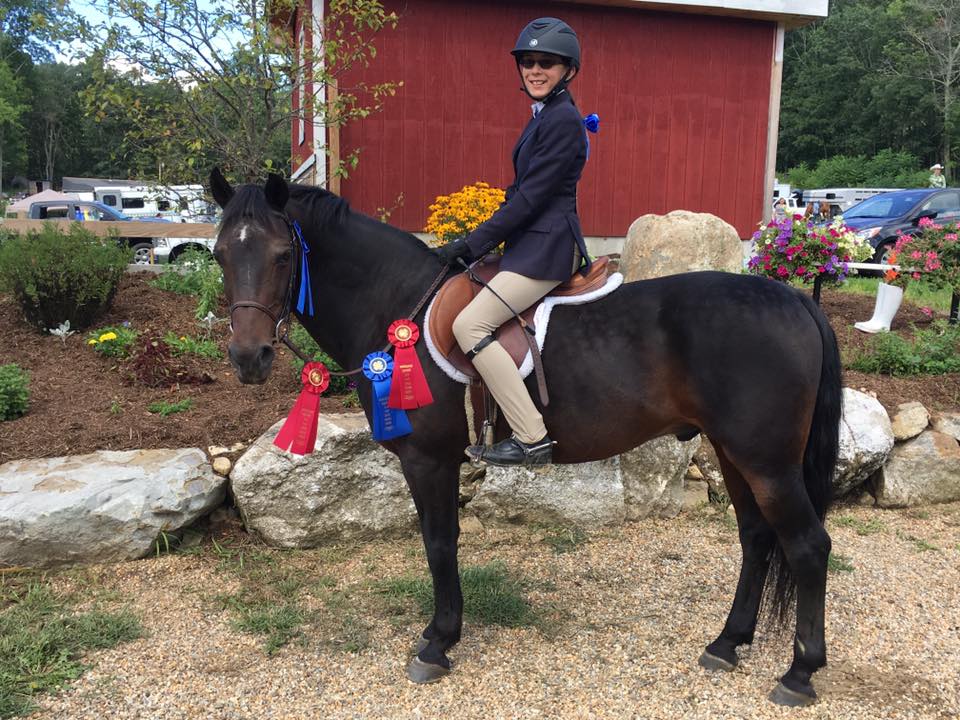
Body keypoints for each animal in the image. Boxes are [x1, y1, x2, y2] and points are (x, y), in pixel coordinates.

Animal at [208, 169, 842, 707]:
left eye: (283, 255)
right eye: (219, 253)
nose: (248, 357)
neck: (398, 305)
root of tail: (793, 299)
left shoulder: (428, 460)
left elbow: (440, 544)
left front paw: (438, 641)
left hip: (768, 463)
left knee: (808, 546)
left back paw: (799, 673)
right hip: (736, 454)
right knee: (756, 537)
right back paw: (727, 643)